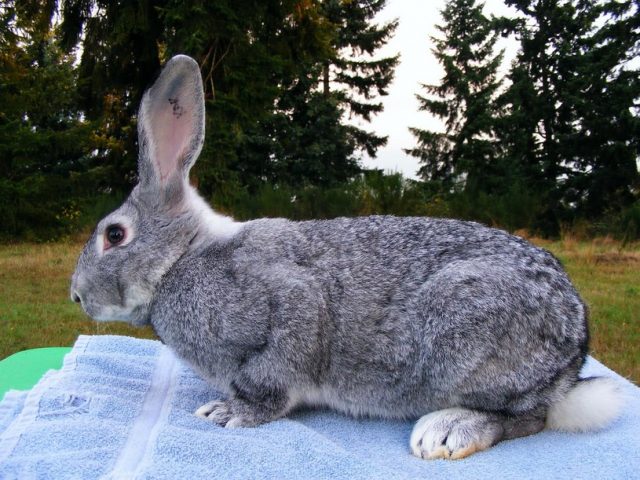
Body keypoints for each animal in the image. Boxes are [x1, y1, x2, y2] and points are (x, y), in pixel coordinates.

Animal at [70, 55, 624, 460]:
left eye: (114, 235)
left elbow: (273, 377)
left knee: (528, 417)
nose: (76, 297)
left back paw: (448, 431)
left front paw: (228, 414)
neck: (181, 258)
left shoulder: (289, 307)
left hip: (465, 336)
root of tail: (573, 352)